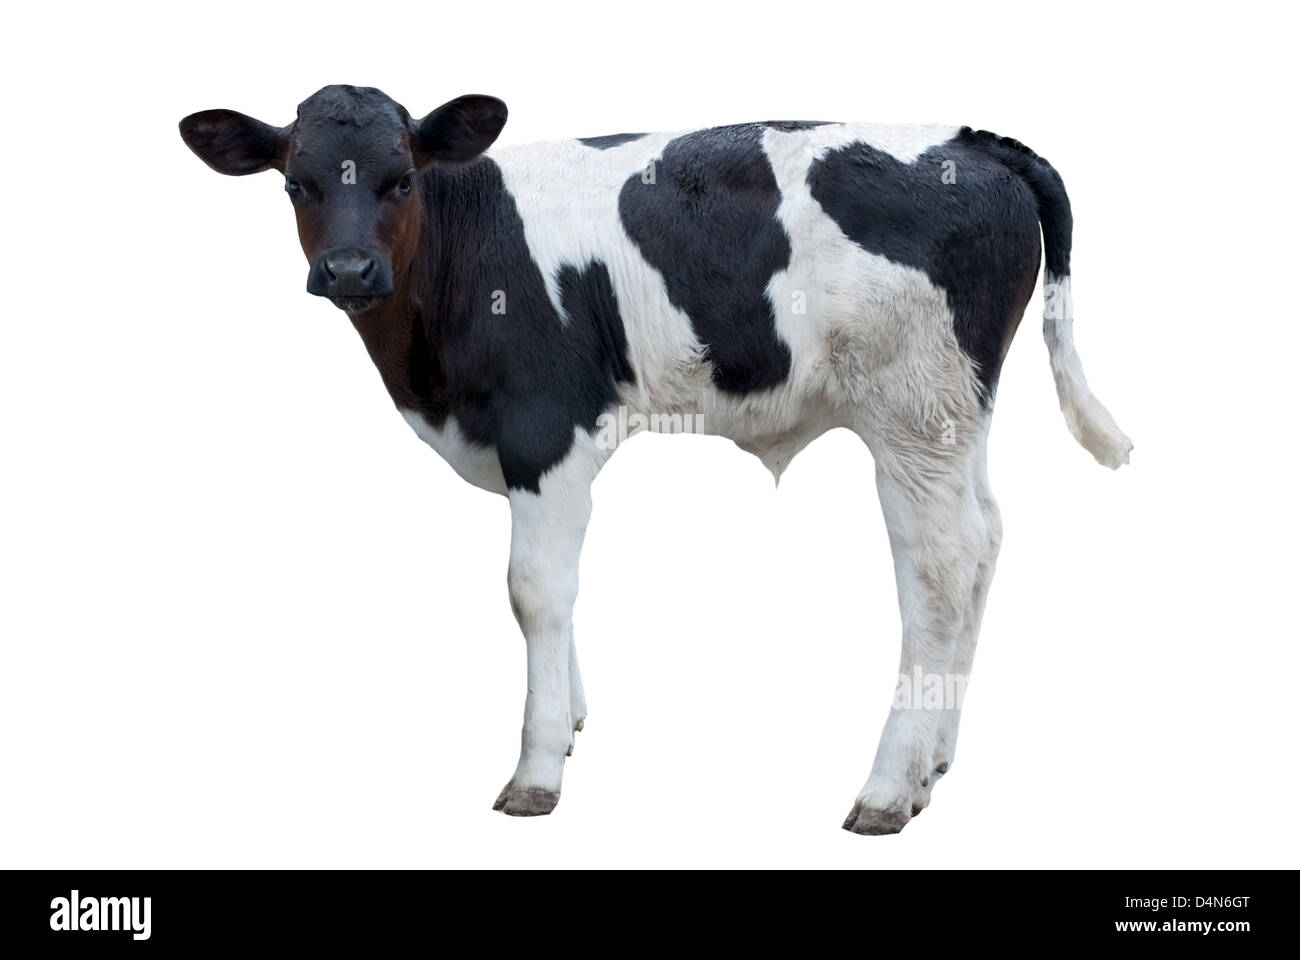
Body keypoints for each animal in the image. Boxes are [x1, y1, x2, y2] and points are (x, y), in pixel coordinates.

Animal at [179, 85, 1131, 834]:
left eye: (401, 177)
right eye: (295, 182)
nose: (349, 269)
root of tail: (971, 140)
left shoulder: (545, 429)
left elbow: (533, 591)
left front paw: (536, 771)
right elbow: (555, 595)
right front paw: (569, 721)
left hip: (911, 410)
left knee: (939, 569)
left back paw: (890, 788)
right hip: (955, 414)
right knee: (986, 543)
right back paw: (936, 762)